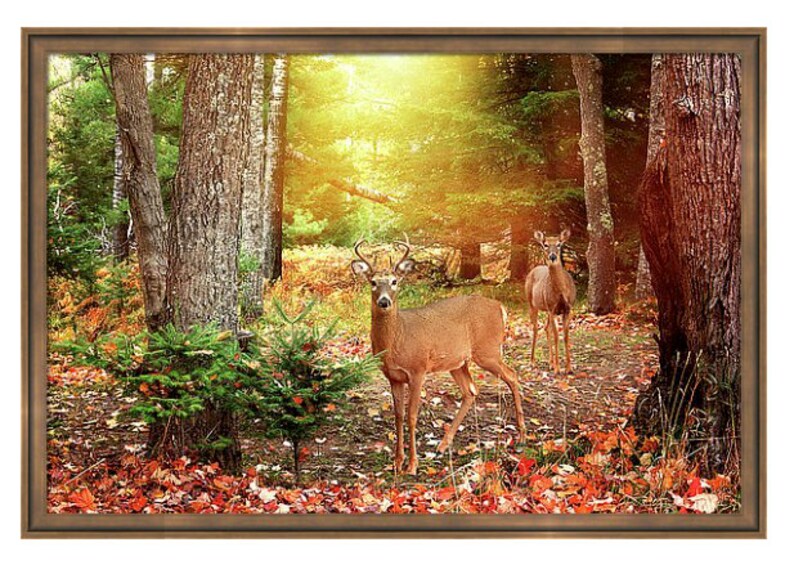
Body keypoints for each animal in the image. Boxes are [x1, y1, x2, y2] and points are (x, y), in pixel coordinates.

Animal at [351, 238, 526, 475]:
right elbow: (398, 416)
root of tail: (501, 307)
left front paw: (412, 465)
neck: (397, 338)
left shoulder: (418, 369)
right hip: (458, 362)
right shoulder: (393, 377)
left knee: (512, 375)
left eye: (395, 281)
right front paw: (397, 462)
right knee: (471, 391)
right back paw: (443, 445)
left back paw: (522, 435)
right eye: (373, 282)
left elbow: (411, 416)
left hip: (487, 350)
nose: (384, 301)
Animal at [525, 229, 577, 374]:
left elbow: (565, 336)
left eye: (559, 244)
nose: (552, 256)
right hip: (532, 303)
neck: (561, 293)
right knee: (535, 329)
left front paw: (569, 368)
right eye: (545, 244)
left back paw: (550, 363)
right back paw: (532, 362)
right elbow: (556, 336)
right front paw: (558, 369)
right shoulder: (553, 309)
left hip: (546, 309)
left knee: (546, 328)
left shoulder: (567, 309)